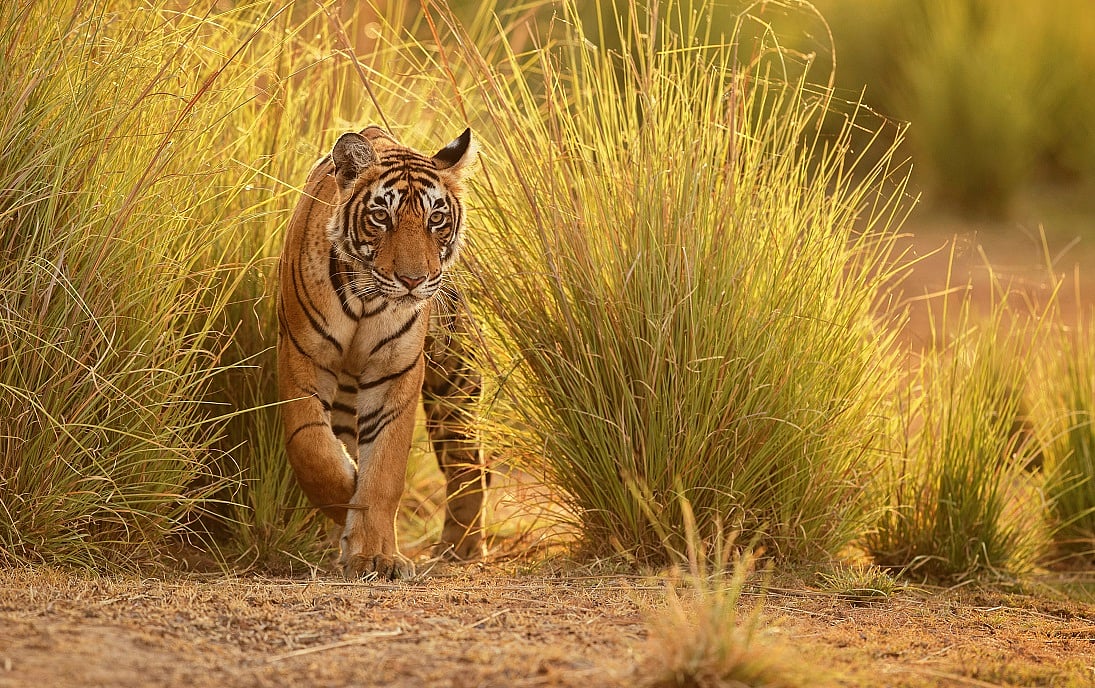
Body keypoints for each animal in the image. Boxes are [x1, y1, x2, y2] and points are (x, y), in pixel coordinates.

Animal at [277, 125, 486, 580]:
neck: (367, 299)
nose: (413, 280)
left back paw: (460, 547)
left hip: (455, 381)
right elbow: (313, 451)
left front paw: (375, 555)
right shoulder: (304, 356)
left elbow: (385, 469)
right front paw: (348, 504)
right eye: (380, 217)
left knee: (468, 462)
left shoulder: (396, 371)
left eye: (435, 219)